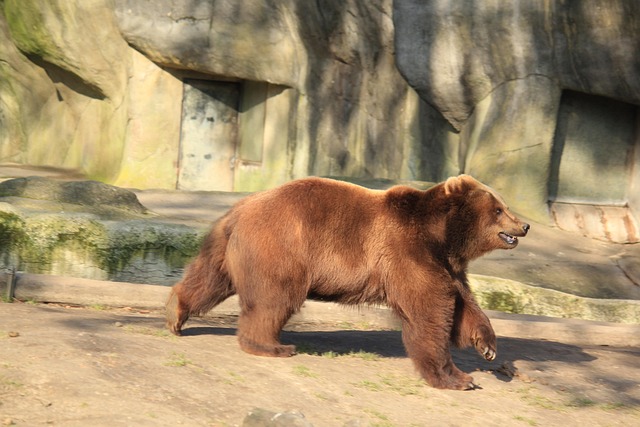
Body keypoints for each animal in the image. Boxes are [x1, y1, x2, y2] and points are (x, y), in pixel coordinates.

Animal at [166, 175, 530, 390]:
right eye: (499, 209)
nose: (524, 225)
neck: (442, 236)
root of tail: (238, 209)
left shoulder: (446, 265)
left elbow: (463, 305)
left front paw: (487, 346)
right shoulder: (407, 251)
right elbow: (430, 312)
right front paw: (454, 377)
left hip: (226, 248)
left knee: (209, 279)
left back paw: (175, 313)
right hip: (282, 247)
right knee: (274, 299)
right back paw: (272, 346)